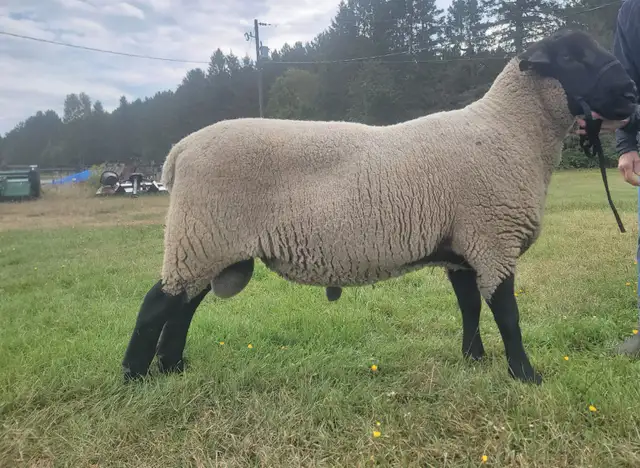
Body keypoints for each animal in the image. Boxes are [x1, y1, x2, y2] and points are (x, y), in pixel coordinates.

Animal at [121, 29, 638, 386]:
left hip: (209, 243)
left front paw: (474, 359)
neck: (509, 130)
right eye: (571, 56)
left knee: (182, 306)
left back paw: (173, 368)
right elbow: (507, 314)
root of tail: (179, 151)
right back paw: (133, 377)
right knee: (156, 305)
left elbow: (470, 306)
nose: (632, 91)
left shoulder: (463, 246)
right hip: (201, 235)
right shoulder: (493, 237)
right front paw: (525, 375)